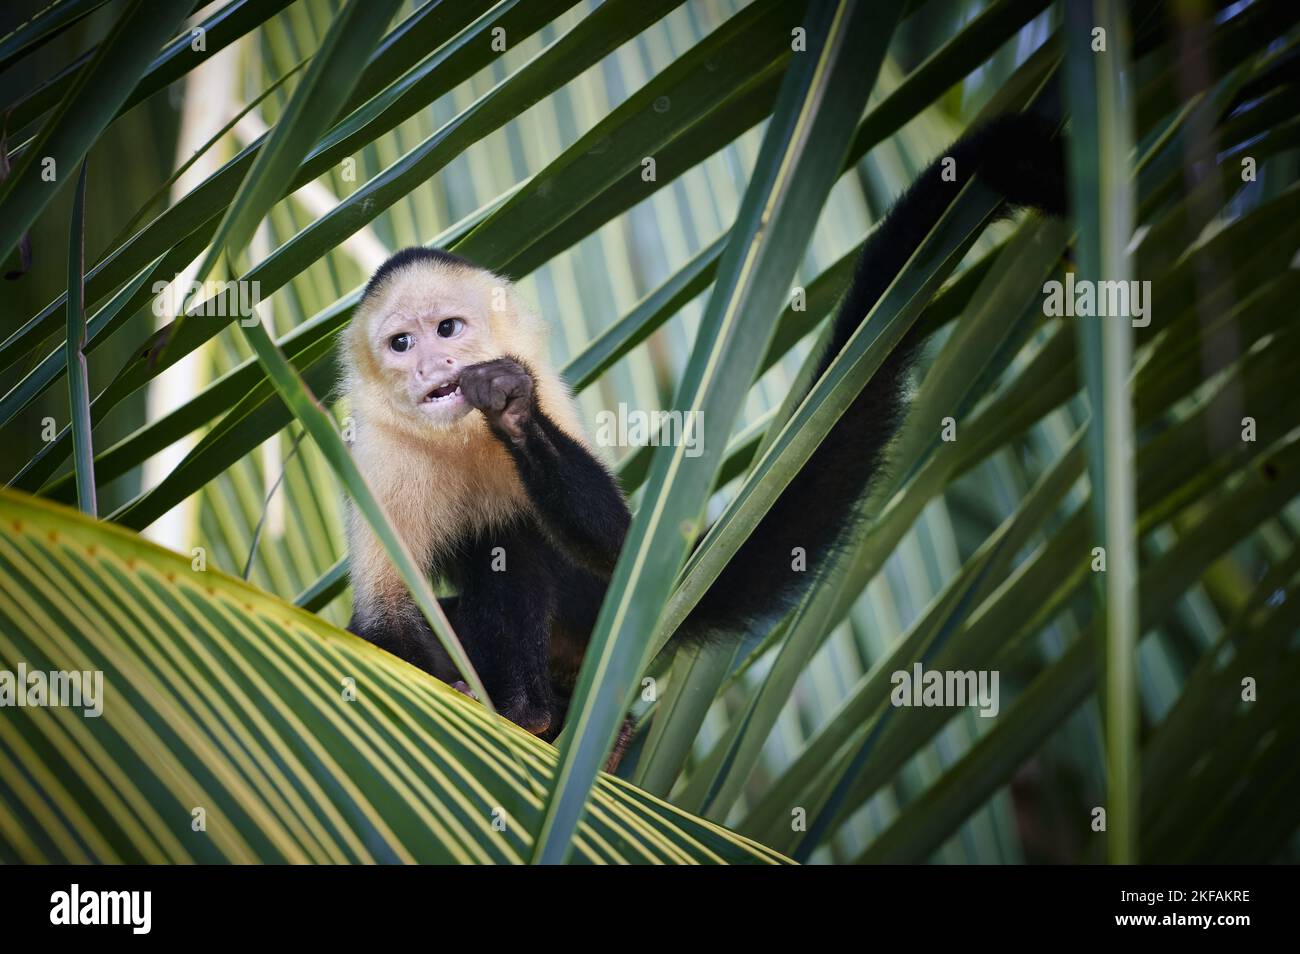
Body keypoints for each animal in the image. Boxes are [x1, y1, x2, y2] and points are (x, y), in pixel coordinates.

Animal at [341, 112, 1068, 750]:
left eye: (447, 330)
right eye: (401, 343)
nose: (431, 367)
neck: (454, 438)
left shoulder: (550, 388)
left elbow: (624, 551)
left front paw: (511, 409)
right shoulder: (374, 456)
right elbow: (384, 619)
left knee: (516, 541)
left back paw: (532, 711)